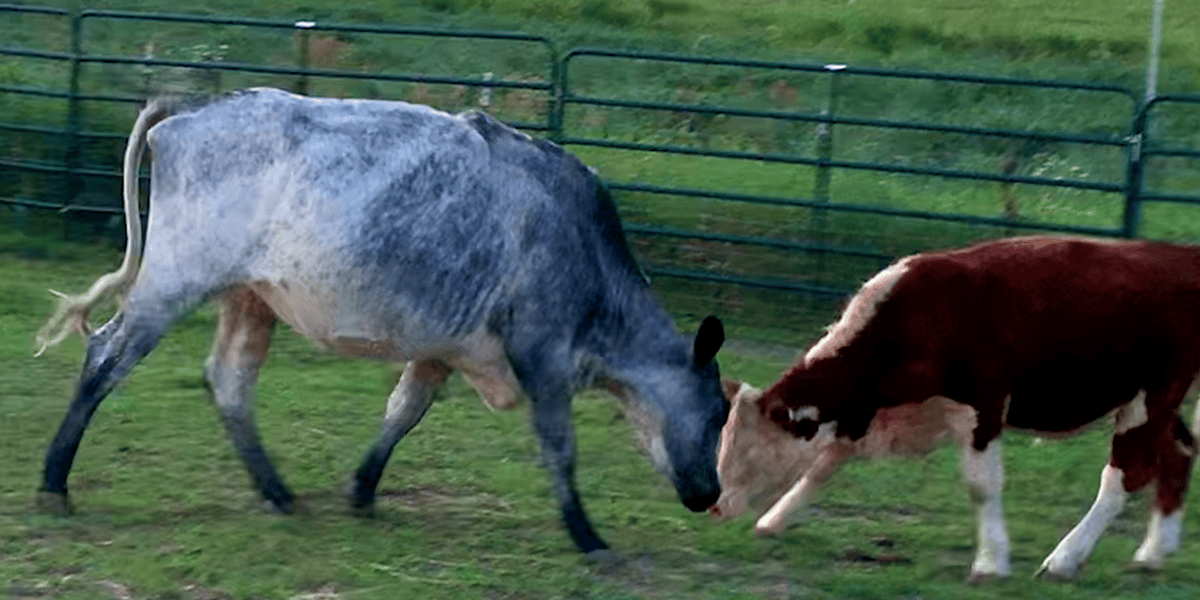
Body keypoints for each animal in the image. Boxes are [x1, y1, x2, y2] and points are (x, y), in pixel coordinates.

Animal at [33, 88, 728, 559]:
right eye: (720, 412)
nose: (710, 494)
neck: (582, 245)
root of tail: (192, 110)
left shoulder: (444, 347)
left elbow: (403, 412)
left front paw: (364, 489)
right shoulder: (543, 351)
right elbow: (559, 446)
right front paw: (587, 535)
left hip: (249, 299)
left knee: (230, 382)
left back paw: (278, 491)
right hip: (172, 282)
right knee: (105, 358)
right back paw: (54, 483)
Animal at [710, 235, 1200, 581]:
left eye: (749, 454)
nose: (713, 506)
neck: (915, 317)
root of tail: (1183, 255)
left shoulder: (983, 407)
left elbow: (982, 486)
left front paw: (990, 563)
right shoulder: (868, 414)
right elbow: (822, 467)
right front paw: (774, 520)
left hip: (1151, 395)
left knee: (1126, 474)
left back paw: (1066, 558)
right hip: (1165, 400)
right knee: (1179, 453)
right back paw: (1152, 554)